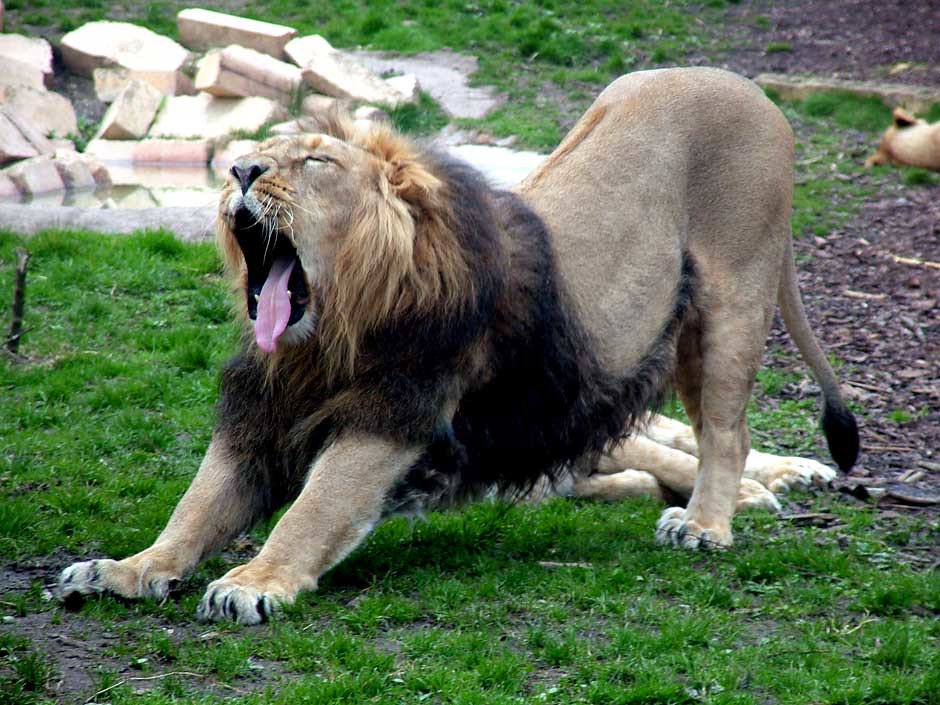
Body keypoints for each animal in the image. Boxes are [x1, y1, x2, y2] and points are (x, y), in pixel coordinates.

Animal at [58, 68, 858, 625]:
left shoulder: (391, 412)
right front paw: (125, 568)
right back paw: (774, 483)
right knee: (677, 437)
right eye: (252, 155)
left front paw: (253, 582)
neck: (328, 338)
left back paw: (708, 522)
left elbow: (310, 510)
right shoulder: (261, 415)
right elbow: (196, 506)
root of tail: (749, 88)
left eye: (316, 163)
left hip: (730, 302)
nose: (241, 173)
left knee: (725, 432)